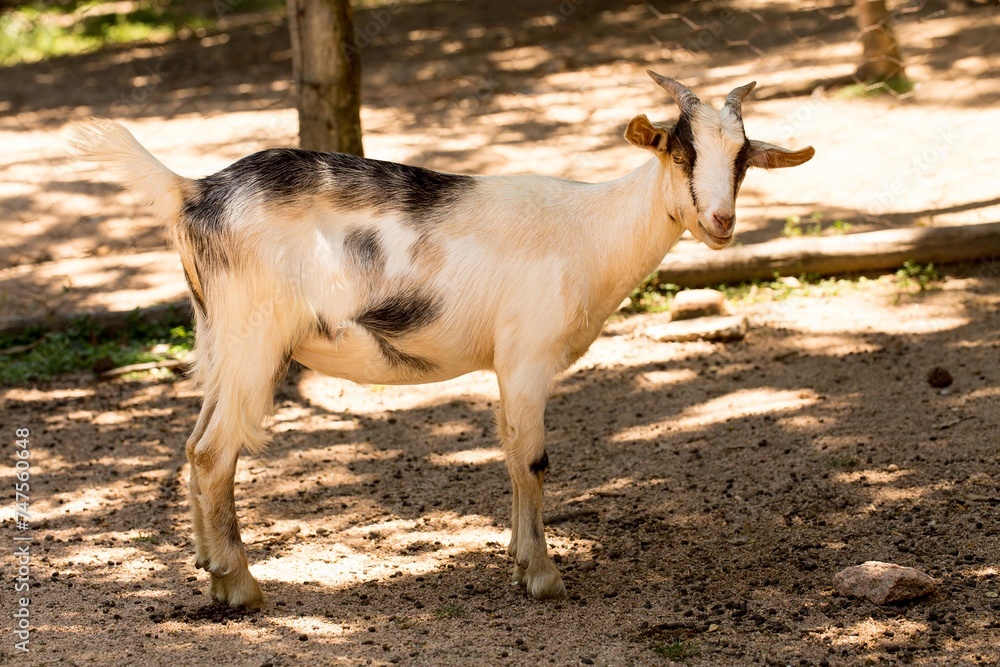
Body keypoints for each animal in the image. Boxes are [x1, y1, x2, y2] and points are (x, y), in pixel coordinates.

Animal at [69, 71, 814, 608]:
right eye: (681, 150)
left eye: (743, 158)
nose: (720, 222)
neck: (588, 229)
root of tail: (190, 190)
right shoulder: (528, 358)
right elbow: (533, 460)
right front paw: (544, 576)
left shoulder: (506, 368)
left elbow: (510, 456)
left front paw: (519, 559)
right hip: (255, 340)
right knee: (215, 451)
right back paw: (240, 586)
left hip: (219, 338)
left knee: (194, 442)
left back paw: (207, 564)